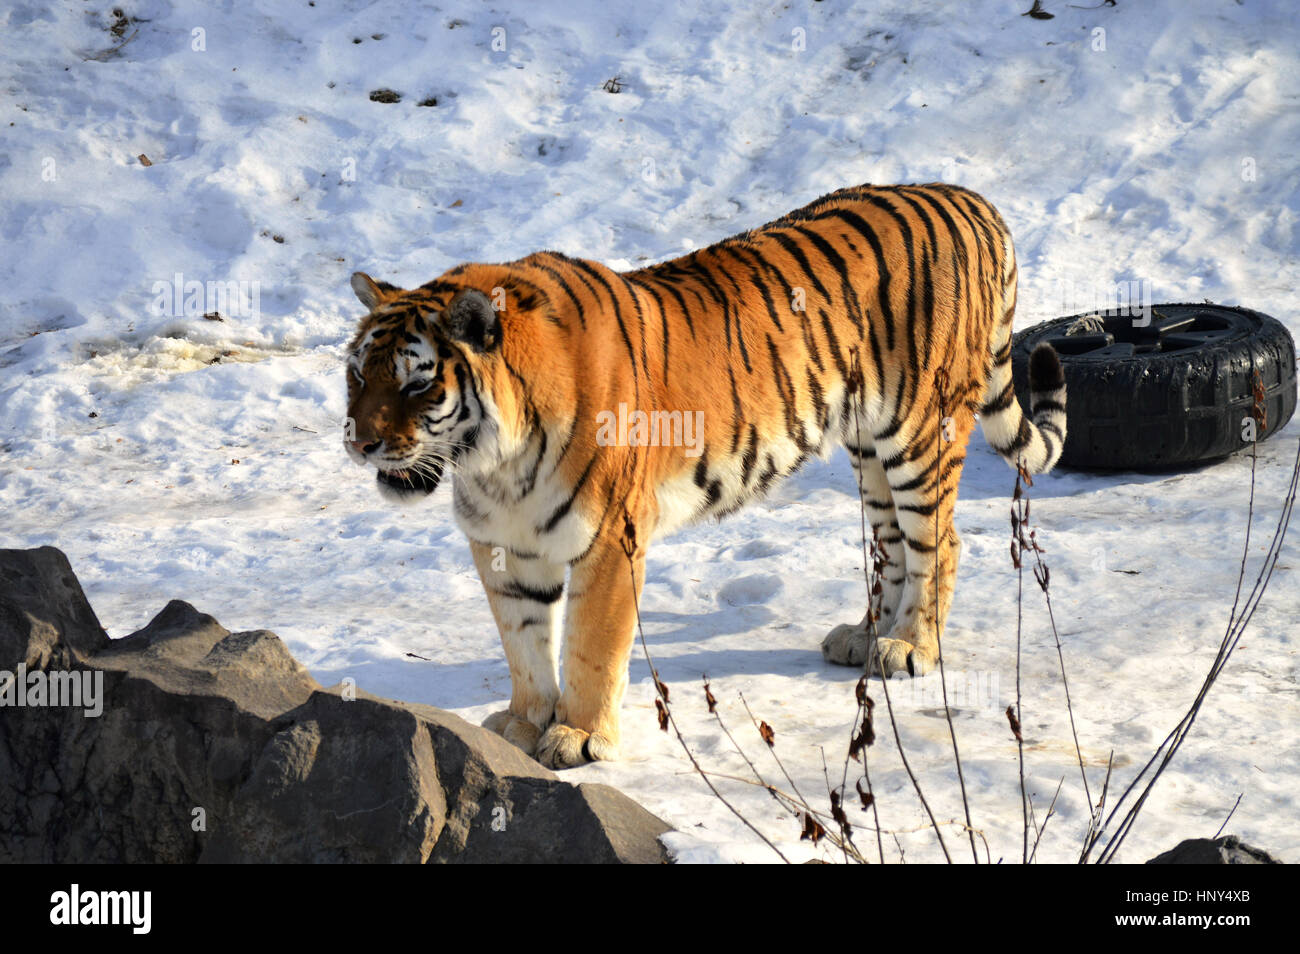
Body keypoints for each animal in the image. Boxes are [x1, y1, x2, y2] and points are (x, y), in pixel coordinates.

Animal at [343, 183, 1066, 769]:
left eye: (416, 382)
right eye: (358, 373)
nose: (358, 442)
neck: (495, 464)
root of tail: (973, 200)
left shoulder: (609, 540)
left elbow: (589, 646)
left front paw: (580, 736)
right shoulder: (504, 545)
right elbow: (523, 643)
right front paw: (525, 723)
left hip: (918, 432)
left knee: (940, 543)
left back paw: (909, 648)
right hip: (870, 449)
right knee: (891, 546)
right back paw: (867, 636)